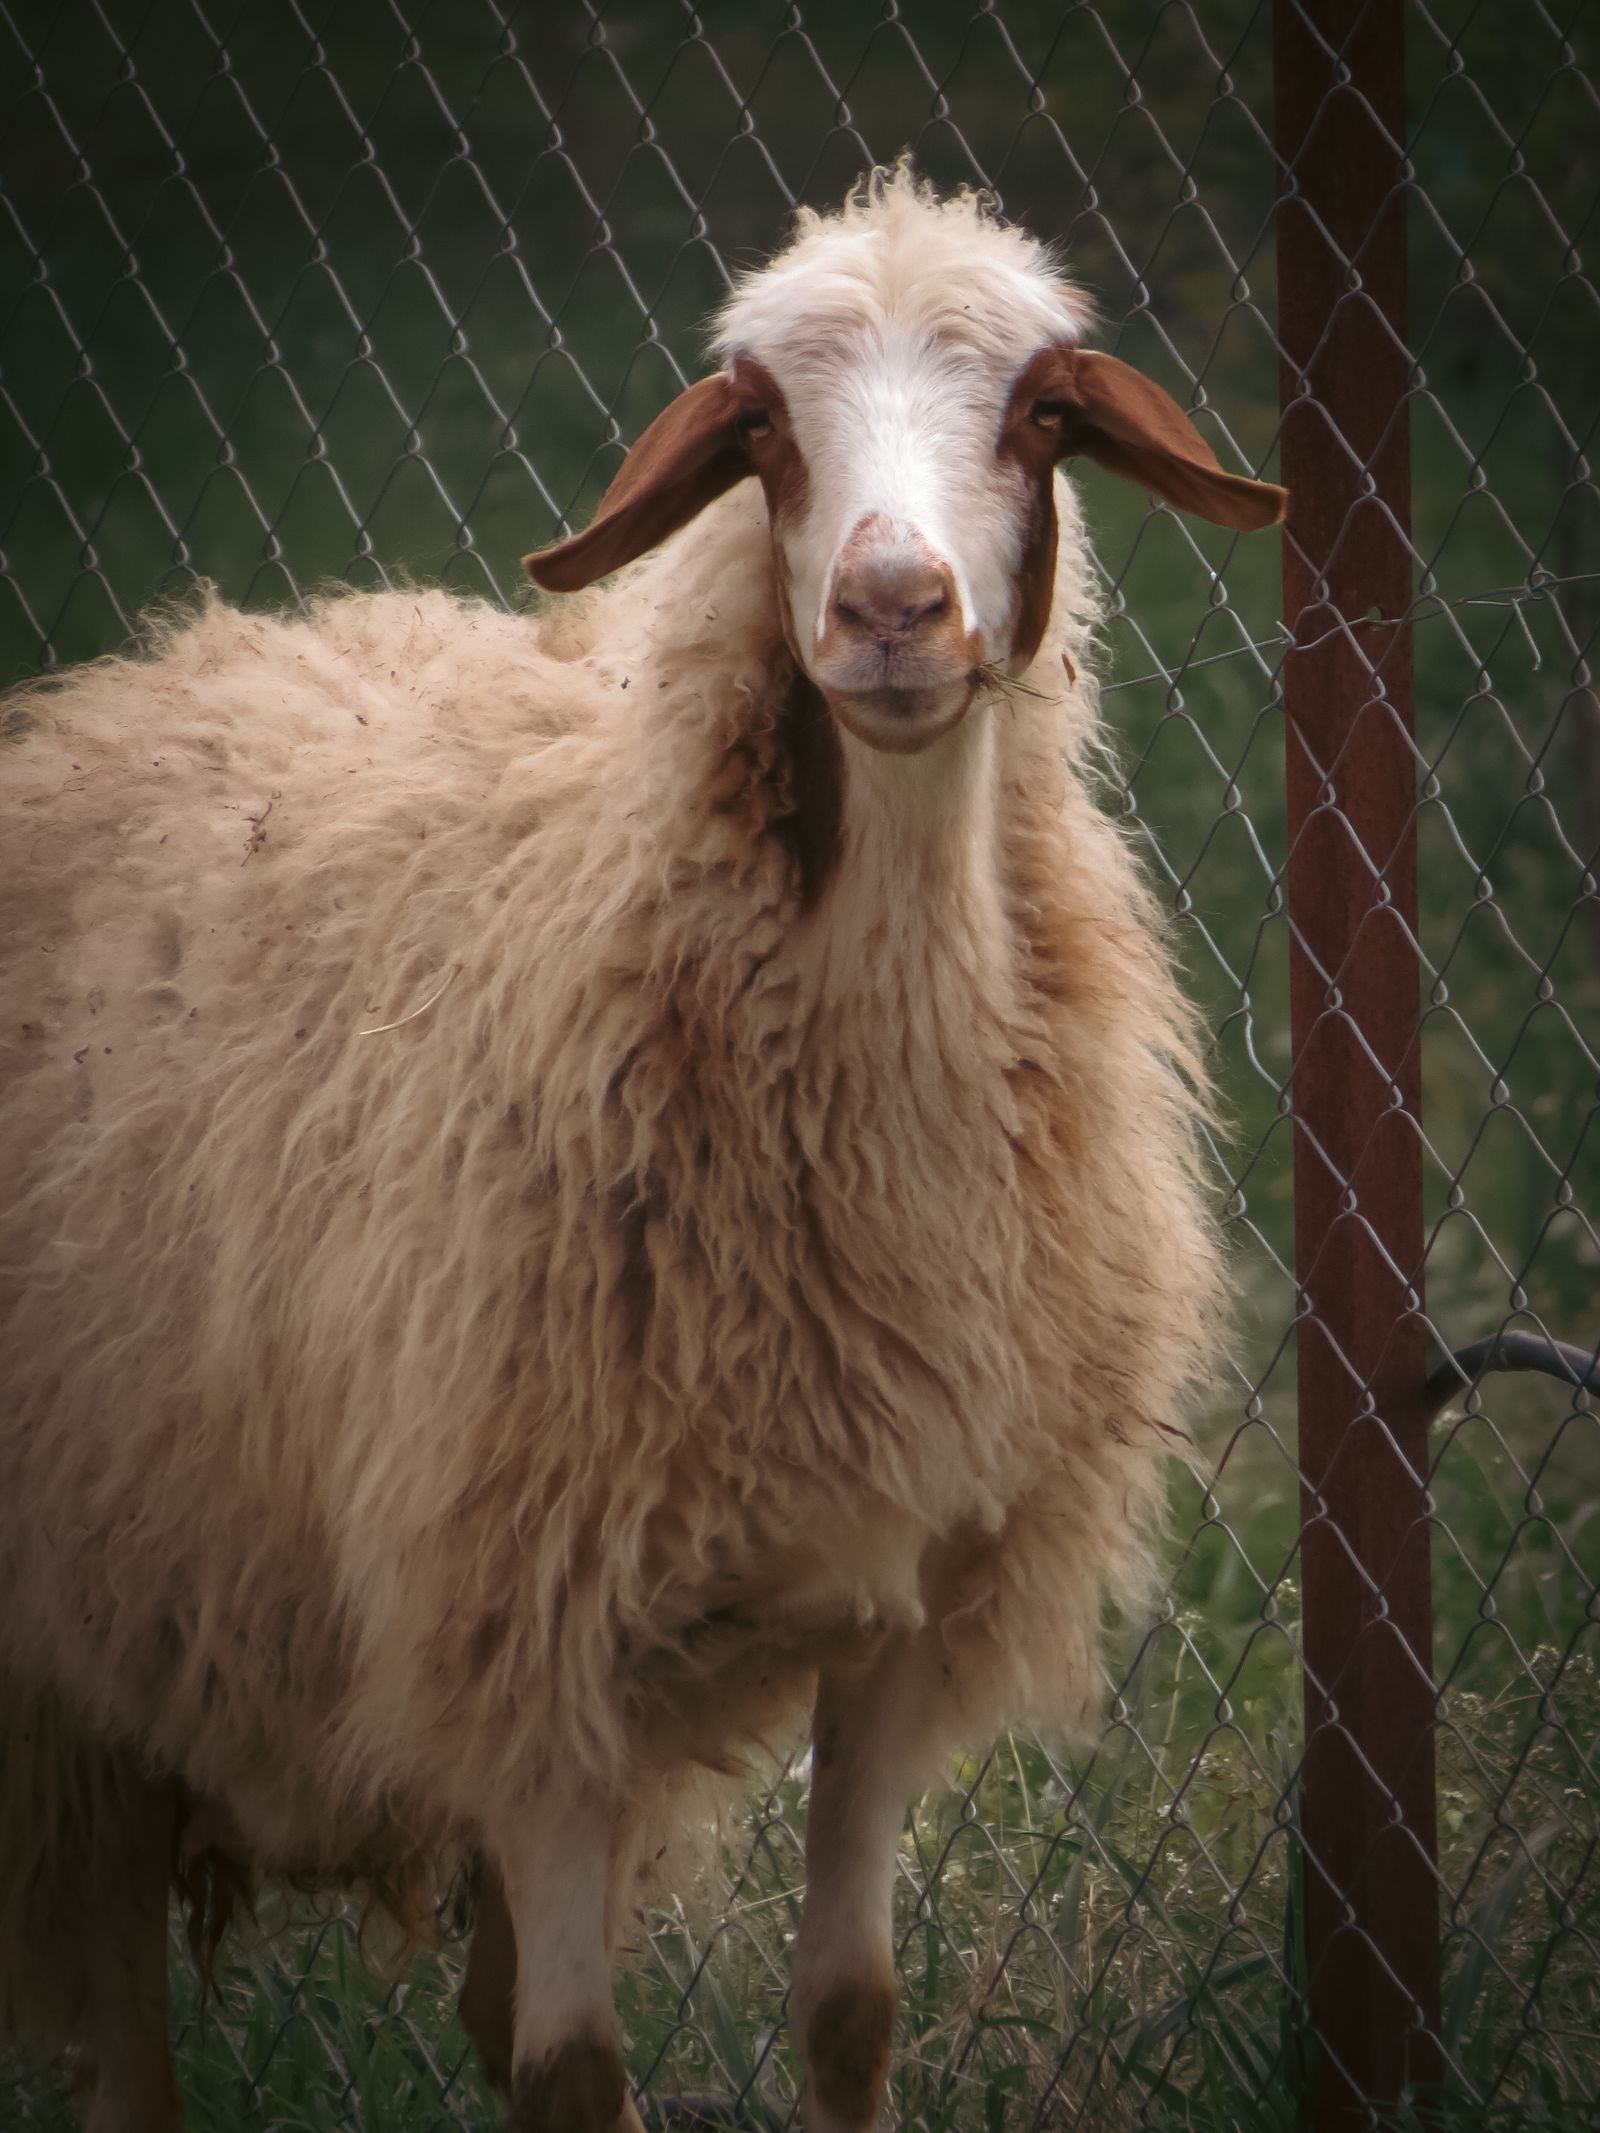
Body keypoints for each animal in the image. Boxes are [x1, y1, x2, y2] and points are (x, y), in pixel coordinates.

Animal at [0, 167, 1285, 2133]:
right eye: (758, 429)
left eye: (1045, 411)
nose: (893, 608)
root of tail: (144, 676)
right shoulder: (520, 1632)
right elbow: (573, 2073)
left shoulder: (897, 1603)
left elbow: (848, 2010)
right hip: (80, 1679)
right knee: (131, 2054)